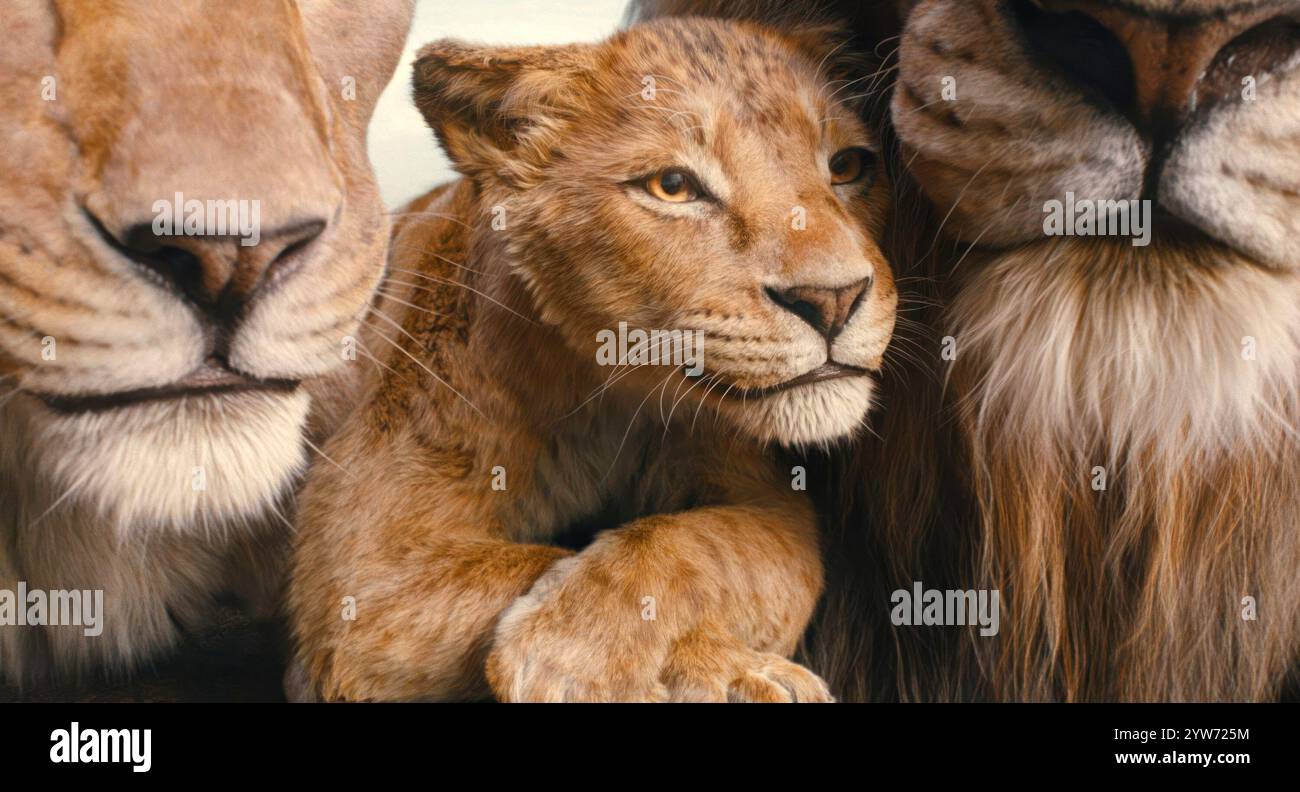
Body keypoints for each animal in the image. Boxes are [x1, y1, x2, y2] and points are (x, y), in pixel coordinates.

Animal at [287, 16, 898, 702]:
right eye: (672, 186)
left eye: (847, 165)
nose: (833, 299)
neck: (606, 394)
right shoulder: (363, 563)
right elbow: (524, 564)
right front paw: (601, 661)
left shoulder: (765, 500)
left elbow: (715, 547)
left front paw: (576, 644)